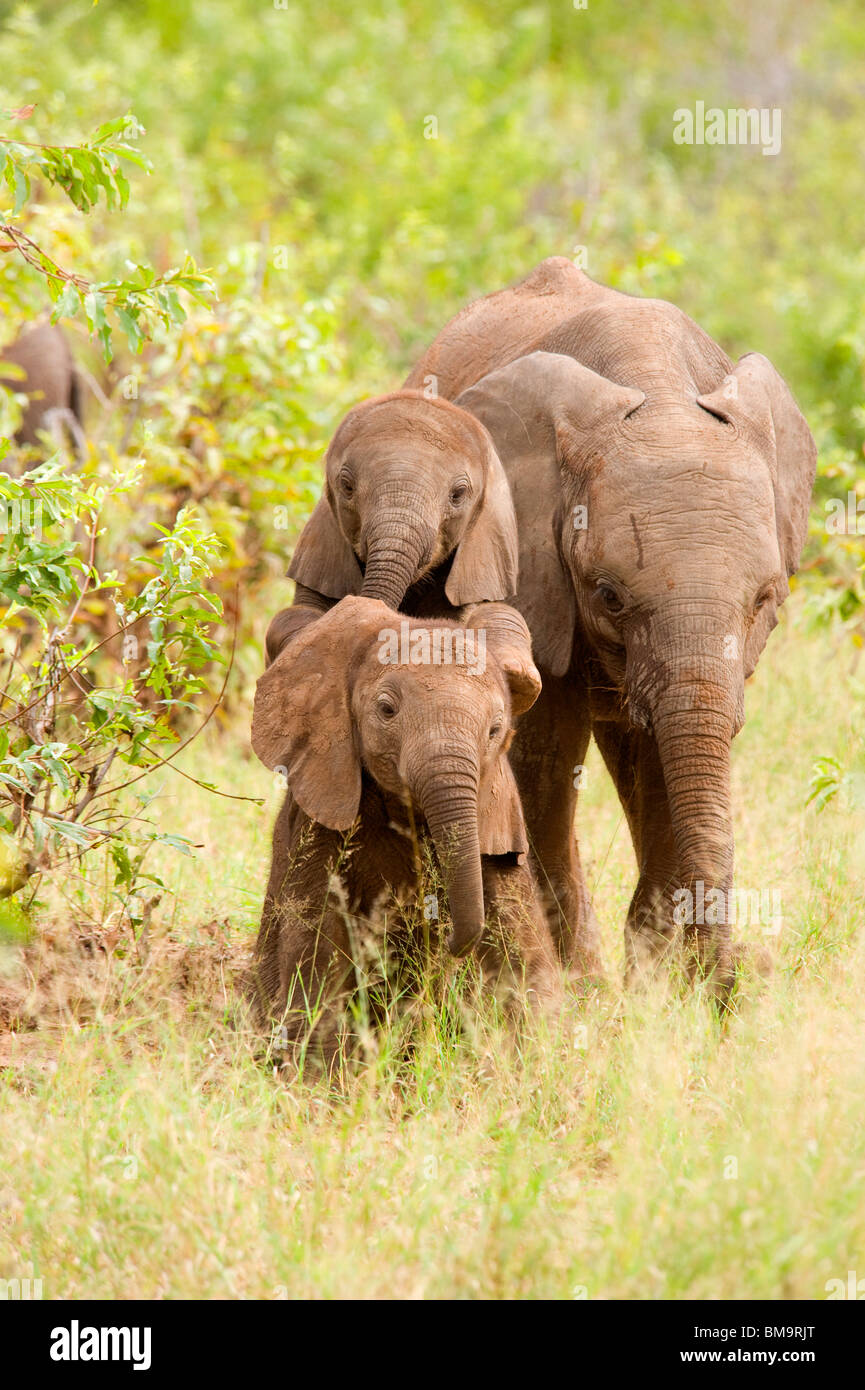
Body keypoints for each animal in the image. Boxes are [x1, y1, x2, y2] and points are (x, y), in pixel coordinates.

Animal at [250, 596, 561, 1065]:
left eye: (495, 730)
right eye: (386, 710)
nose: (444, 940)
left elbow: (522, 958)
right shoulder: (321, 810)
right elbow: (316, 942)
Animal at [406, 258, 816, 1002]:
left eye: (765, 599)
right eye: (607, 595)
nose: (729, 990)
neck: (658, 389)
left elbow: (664, 764)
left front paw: (656, 986)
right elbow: (541, 759)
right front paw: (586, 989)